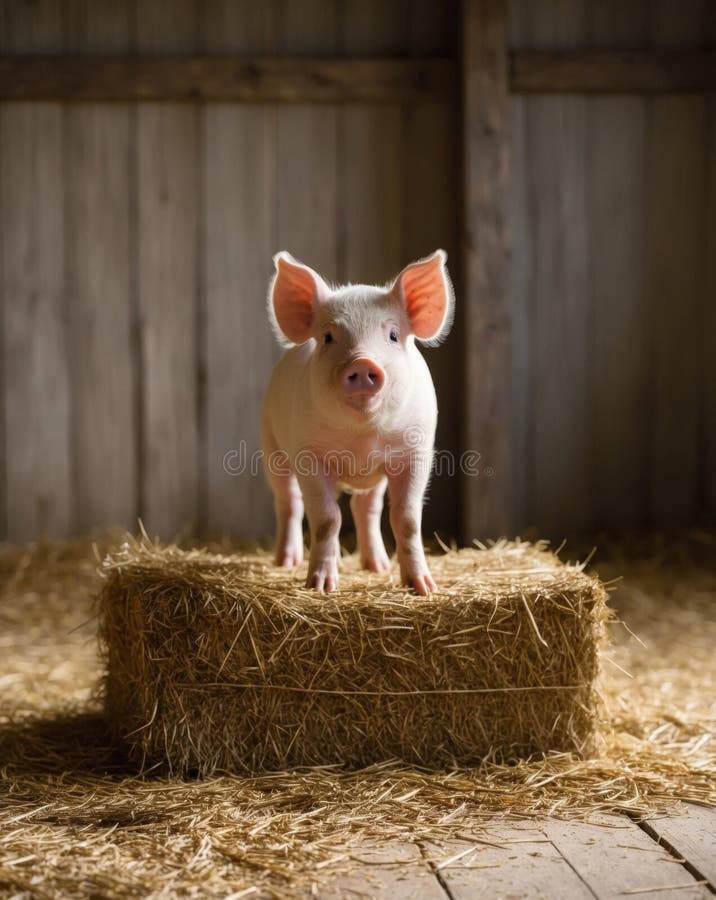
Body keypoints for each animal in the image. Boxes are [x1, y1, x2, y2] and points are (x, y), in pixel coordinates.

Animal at [261, 250, 454, 595]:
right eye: (328, 336)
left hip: (374, 477)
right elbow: (326, 519)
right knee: (289, 503)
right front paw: (320, 587)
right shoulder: (308, 454)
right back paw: (286, 562)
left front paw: (424, 588)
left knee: (364, 508)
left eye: (393, 335)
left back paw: (376, 567)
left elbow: (406, 519)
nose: (362, 362)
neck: (362, 440)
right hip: (271, 446)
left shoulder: (416, 453)